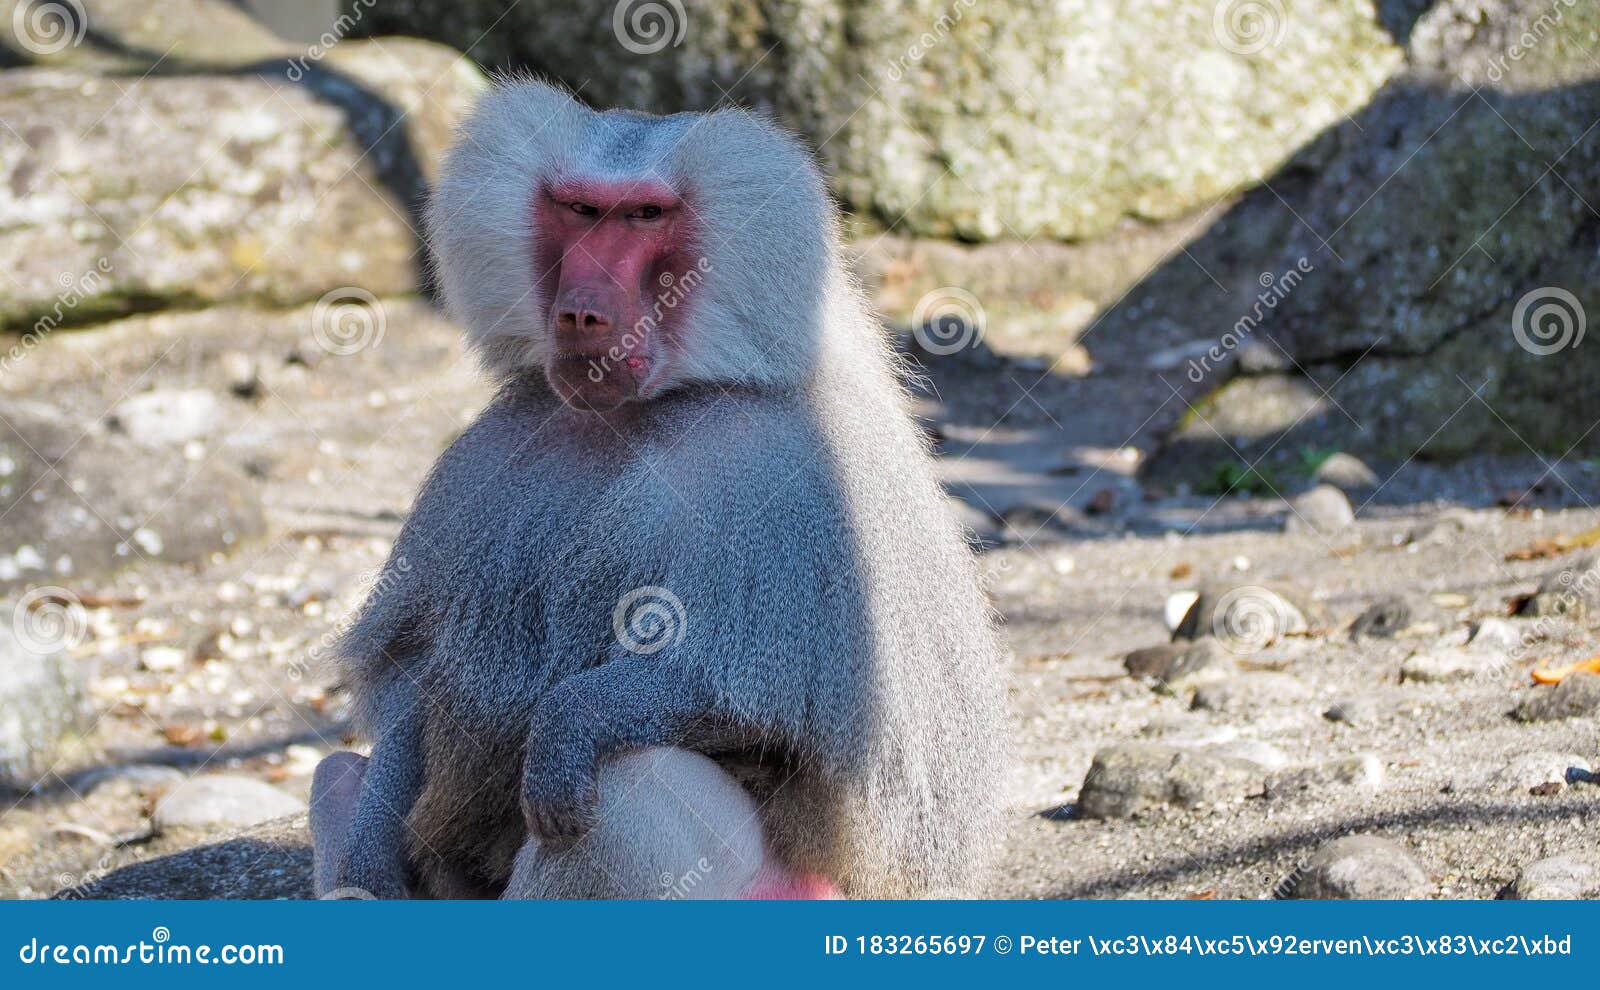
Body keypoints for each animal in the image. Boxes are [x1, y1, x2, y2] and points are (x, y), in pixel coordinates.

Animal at [318, 77, 1009, 900]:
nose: (582, 311)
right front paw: (369, 859)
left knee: (625, 795)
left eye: (645, 217)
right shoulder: (490, 462)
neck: (640, 411)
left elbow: (751, 706)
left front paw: (571, 724)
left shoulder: (773, 472)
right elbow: (411, 674)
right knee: (334, 772)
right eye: (580, 210)